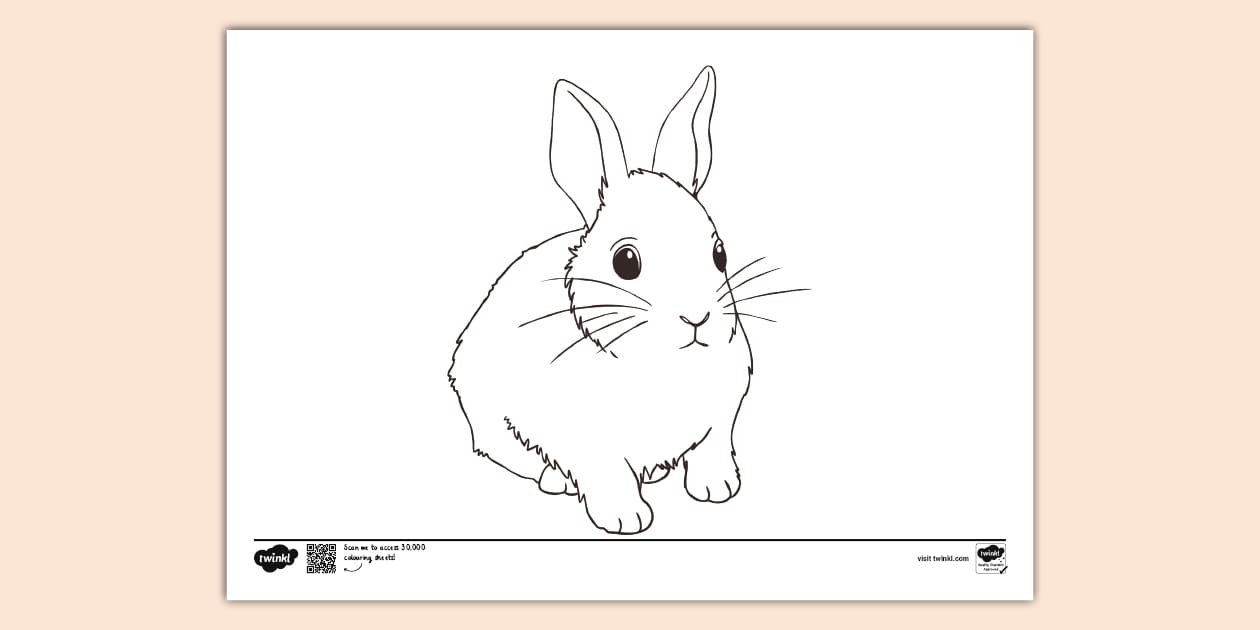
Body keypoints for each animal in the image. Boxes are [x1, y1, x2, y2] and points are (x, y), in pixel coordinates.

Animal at [449, 66, 754, 535]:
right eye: (625, 261)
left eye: (720, 254)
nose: (697, 317)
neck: (662, 366)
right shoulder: (590, 443)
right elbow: (608, 475)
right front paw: (626, 519)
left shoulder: (721, 419)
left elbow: (712, 450)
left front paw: (718, 489)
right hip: (488, 413)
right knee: (509, 454)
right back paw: (555, 480)